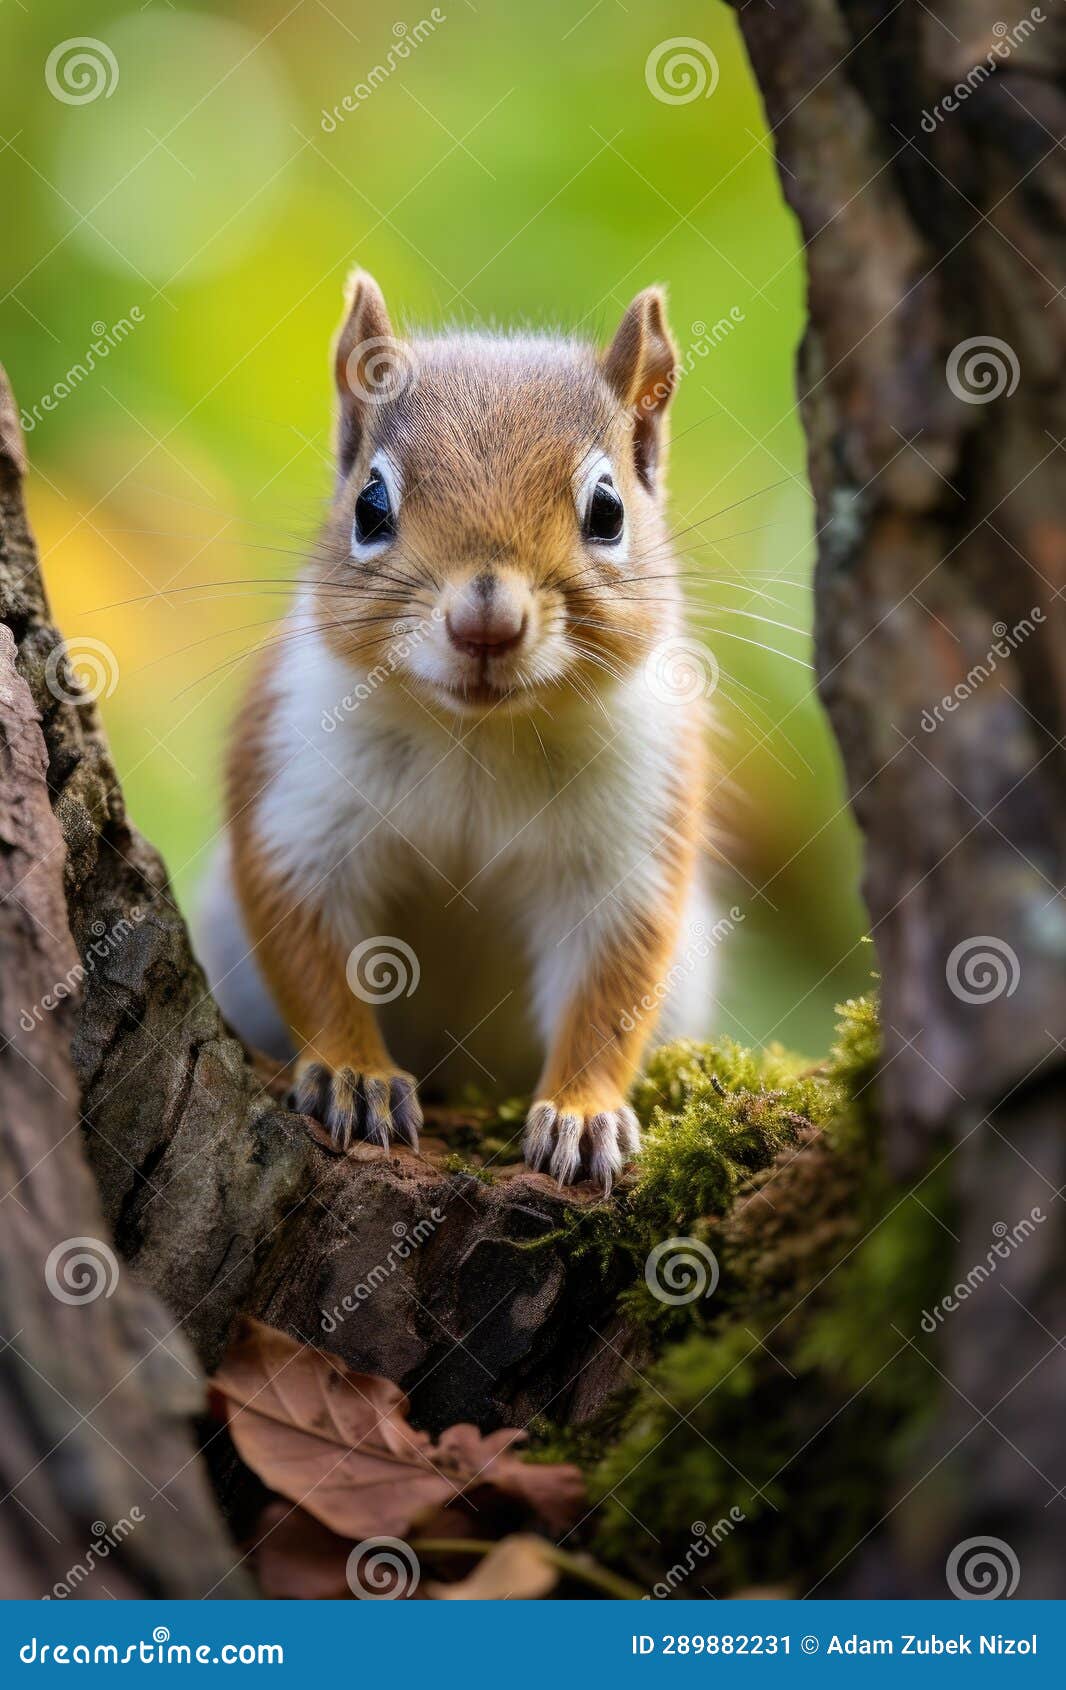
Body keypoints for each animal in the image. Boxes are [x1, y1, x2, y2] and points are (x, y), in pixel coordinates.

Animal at [195, 269, 713, 1188]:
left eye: (608, 510)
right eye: (369, 505)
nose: (486, 624)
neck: (479, 736)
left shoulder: (630, 841)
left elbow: (613, 983)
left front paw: (582, 1115)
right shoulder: (299, 798)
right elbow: (309, 946)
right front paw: (355, 1075)